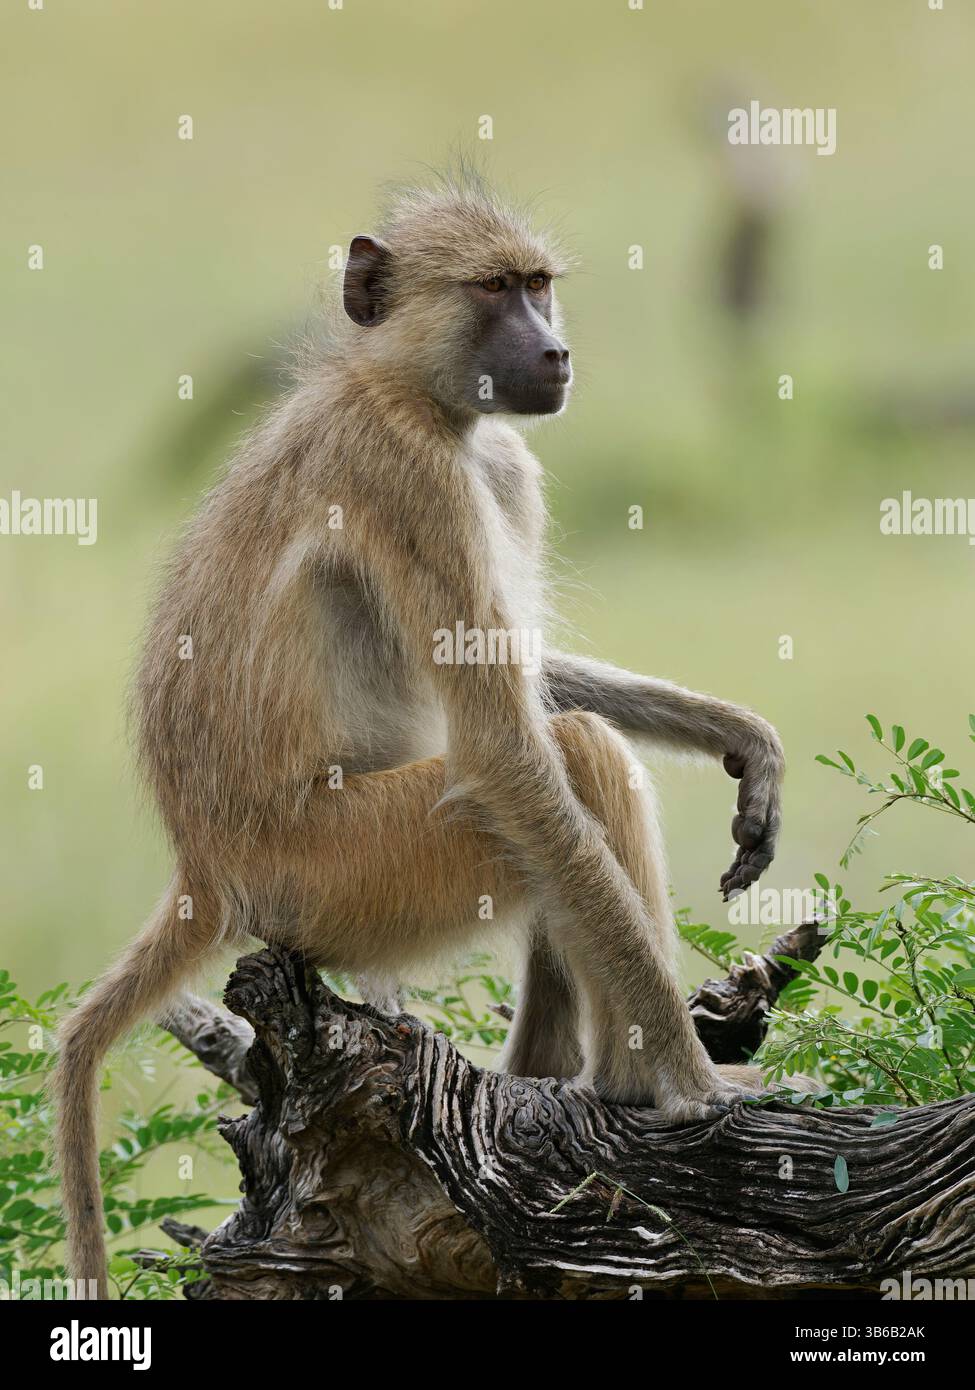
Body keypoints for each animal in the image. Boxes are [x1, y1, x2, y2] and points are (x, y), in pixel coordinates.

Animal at [53, 174, 785, 1298]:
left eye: (538, 284)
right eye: (492, 289)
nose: (555, 352)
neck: (407, 389)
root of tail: (205, 866)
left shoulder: (500, 462)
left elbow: (521, 691)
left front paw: (740, 739)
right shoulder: (412, 479)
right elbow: (502, 743)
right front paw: (692, 1085)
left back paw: (559, 1078)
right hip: (344, 874)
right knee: (574, 760)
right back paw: (628, 1083)